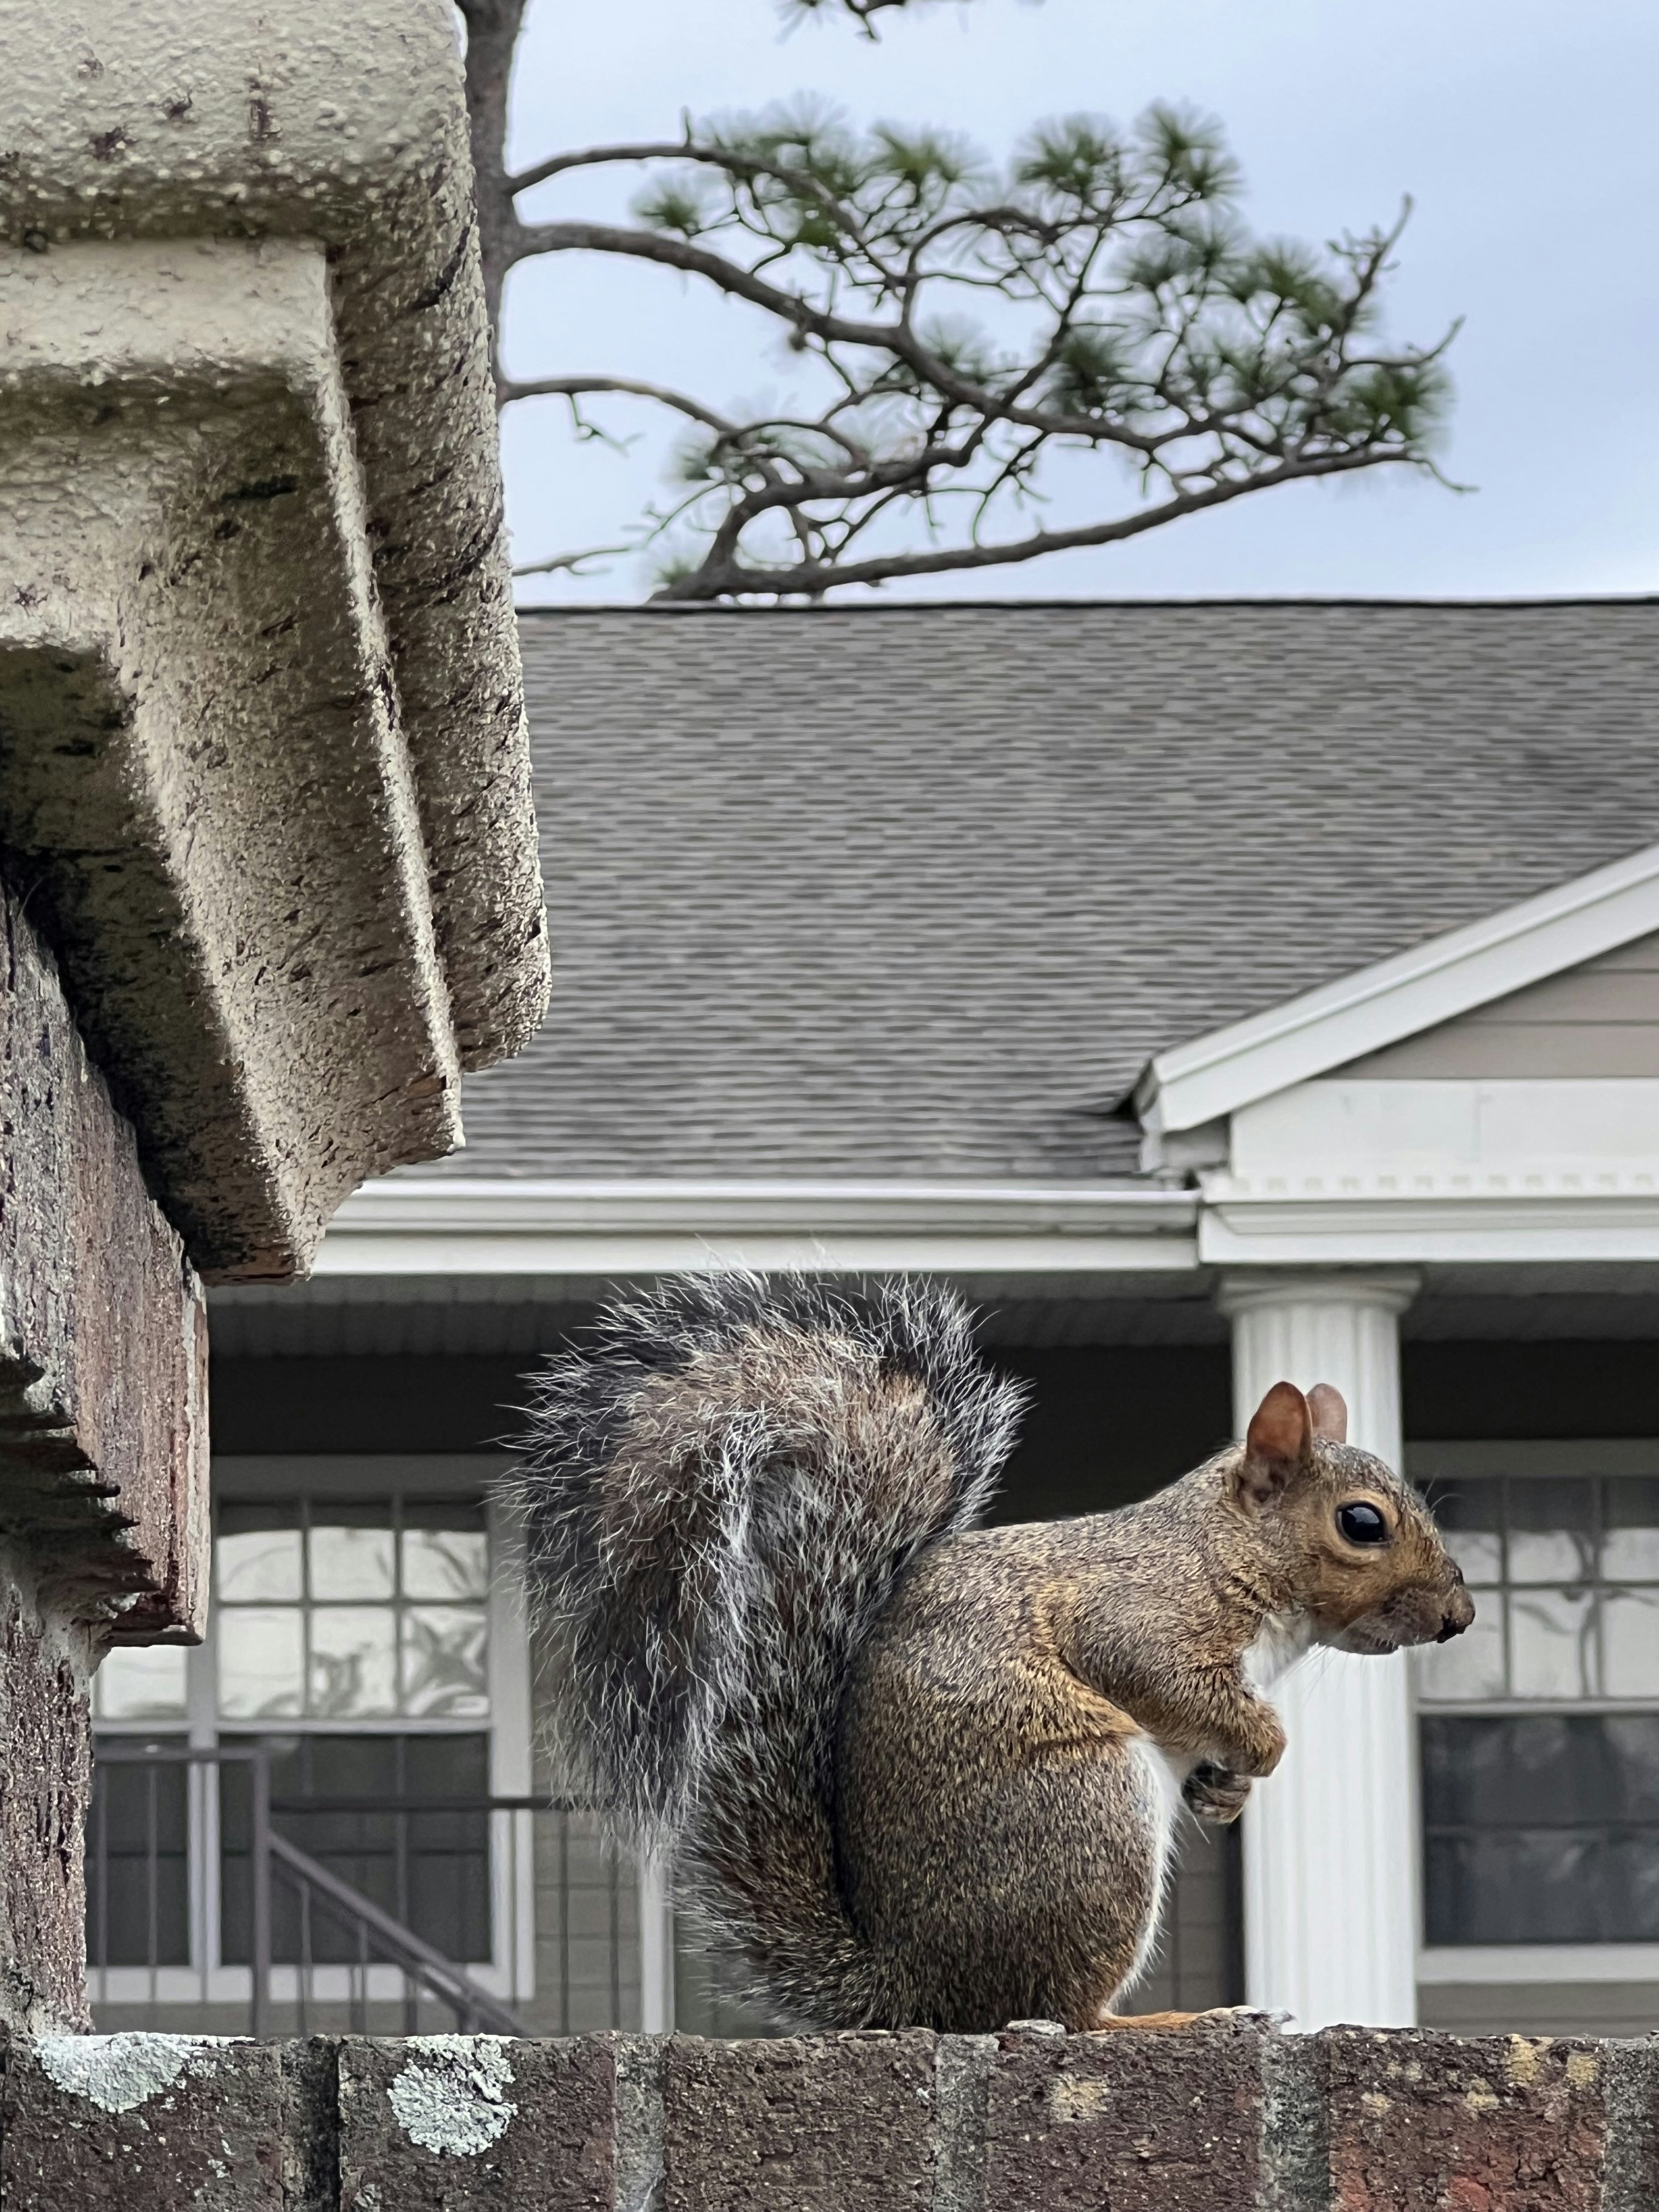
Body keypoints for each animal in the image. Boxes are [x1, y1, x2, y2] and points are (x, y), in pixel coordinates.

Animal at [508, 1270, 1474, 2035]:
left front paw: (1227, 1792)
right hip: (1086, 1810)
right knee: (1062, 2013)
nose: (1461, 1616)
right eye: (1362, 1524)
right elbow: (1160, 1676)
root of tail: (914, 1988)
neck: (1222, 1548)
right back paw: (1183, 2019)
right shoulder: (1140, 1615)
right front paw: (1266, 1746)